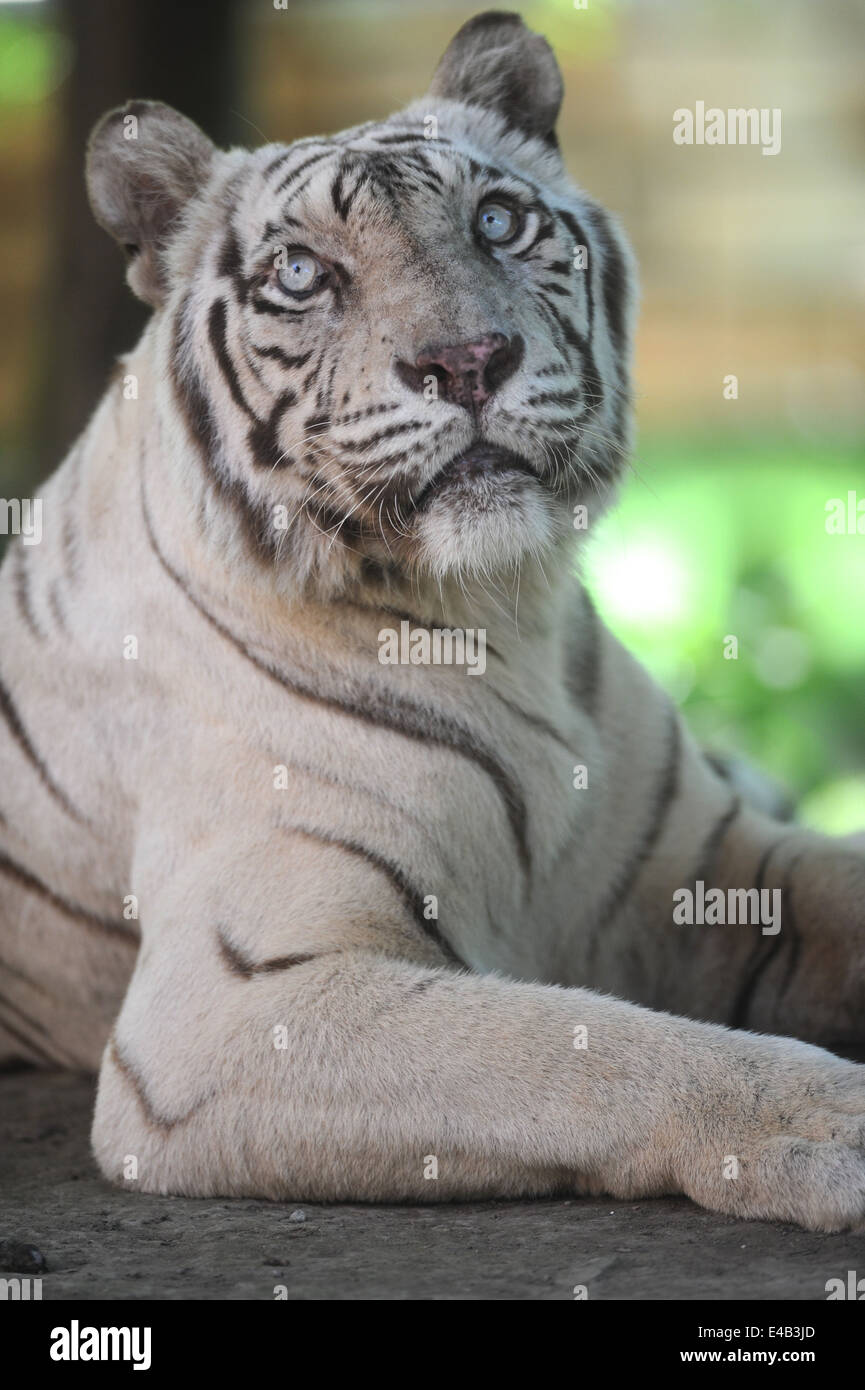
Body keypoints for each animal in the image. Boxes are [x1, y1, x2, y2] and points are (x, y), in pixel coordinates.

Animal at [1, 10, 864, 1232]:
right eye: (302, 272)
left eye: (497, 221)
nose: (467, 360)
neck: (499, 614)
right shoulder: (233, 1007)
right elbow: (584, 1047)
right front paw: (838, 1124)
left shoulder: (714, 856)